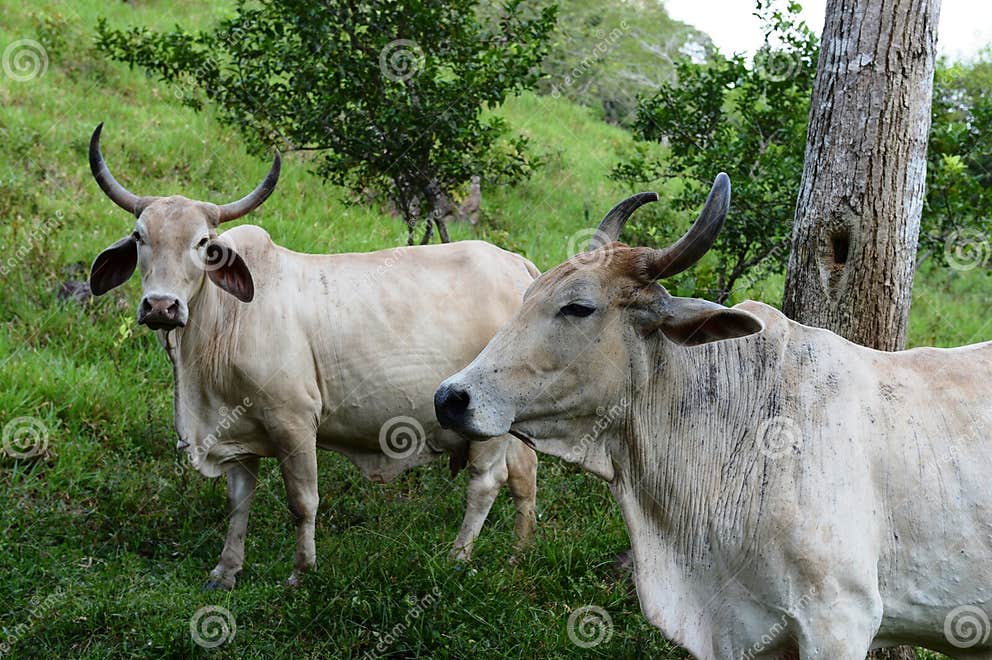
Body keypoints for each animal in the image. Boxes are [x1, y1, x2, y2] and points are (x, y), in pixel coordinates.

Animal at [87, 124, 539, 589]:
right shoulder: (237, 429)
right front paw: (226, 571)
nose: (161, 306)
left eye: (202, 243)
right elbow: (238, 503)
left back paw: (457, 558)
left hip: (483, 425)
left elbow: (303, 501)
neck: (222, 324)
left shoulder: (294, 421)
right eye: (139, 237)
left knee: (486, 482)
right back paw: (517, 556)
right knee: (524, 474)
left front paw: (302, 572)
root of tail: (517, 266)